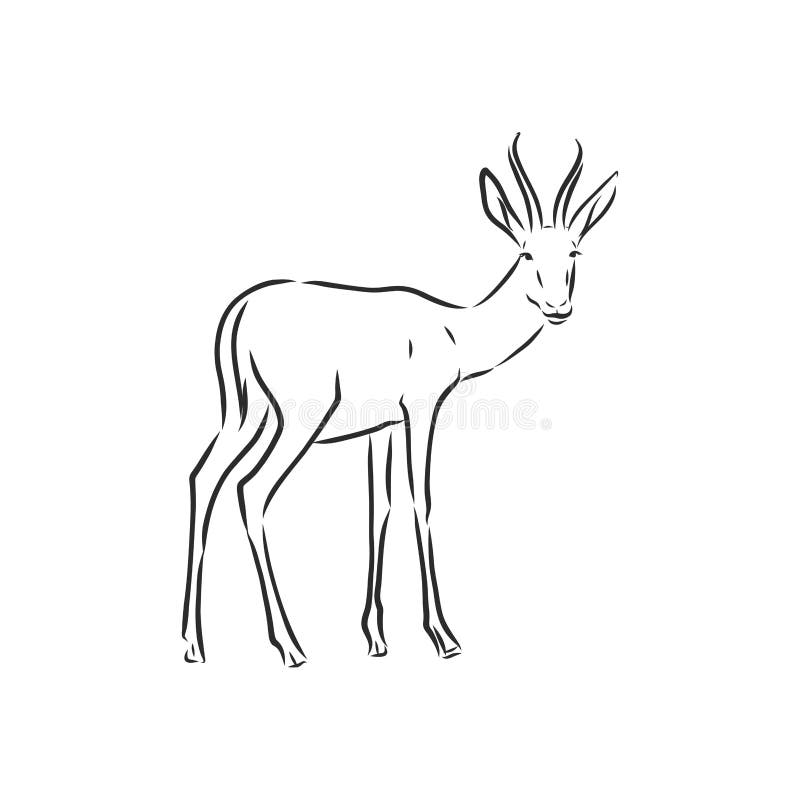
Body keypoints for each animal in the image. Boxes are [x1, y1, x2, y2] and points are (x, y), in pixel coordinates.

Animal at [182, 135, 618, 666]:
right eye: (527, 254)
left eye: (573, 250)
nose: (558, 307)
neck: (453, 329)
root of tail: (240, 308)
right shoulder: (422, 412)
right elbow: (420, 501)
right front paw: (443, 636)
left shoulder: (381, 427)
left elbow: (380, 508)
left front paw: (375, 637)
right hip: (295, 423)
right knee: (251, 490)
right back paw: (289, 644)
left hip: (247, 416)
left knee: (204, 478)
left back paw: (194, 643)